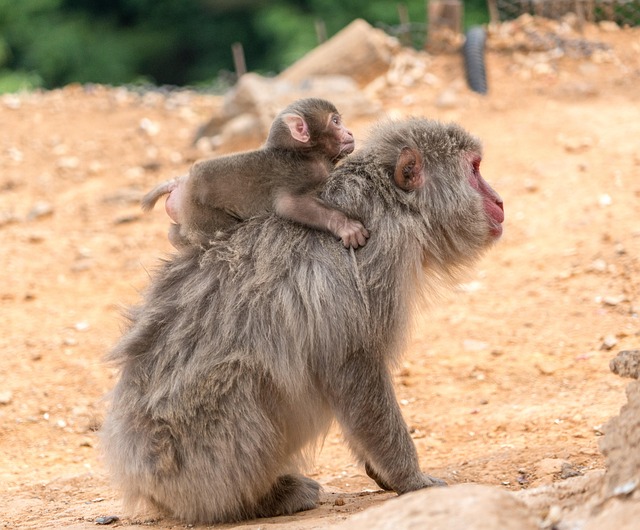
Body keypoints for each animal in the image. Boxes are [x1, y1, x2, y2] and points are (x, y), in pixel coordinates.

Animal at [101, 118, 504, 524]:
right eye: (475, 169)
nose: (500, 201)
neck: (391, 203)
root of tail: (138, 476)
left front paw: (379, 471)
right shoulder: (377, 256)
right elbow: (353, 366)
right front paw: (409, 478)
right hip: (196, 464)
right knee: (249, 375)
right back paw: (261, 499)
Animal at [141, 97, 369, 249]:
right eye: (336, 122)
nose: (349, 132)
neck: (305, 153)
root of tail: (182, 183)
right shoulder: (301, 173)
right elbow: (289, 205)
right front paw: (345, 226)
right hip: (197, 210)